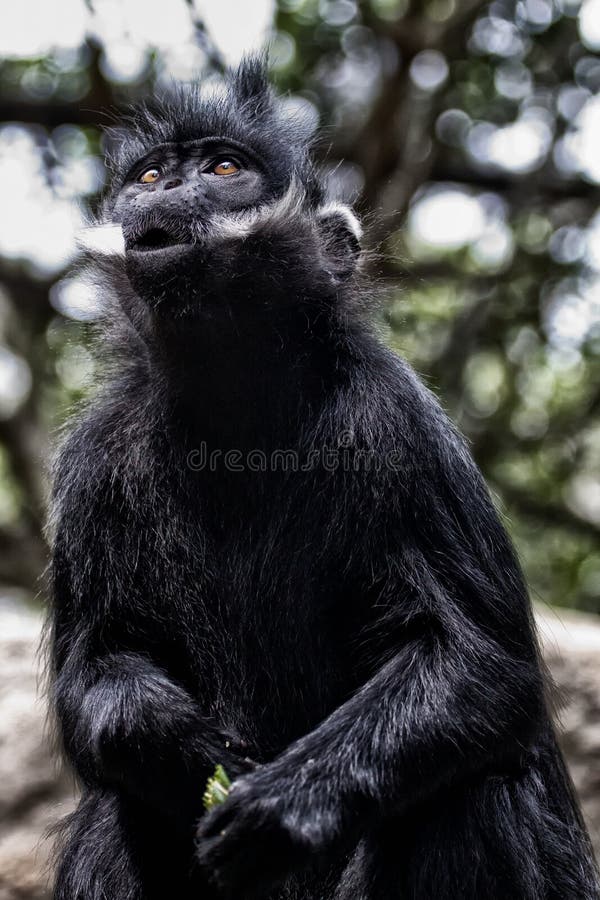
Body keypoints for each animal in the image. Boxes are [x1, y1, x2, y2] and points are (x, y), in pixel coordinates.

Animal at [48, 57, 599, 900]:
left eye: (224, 169)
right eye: (148, 173)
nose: (162, 190)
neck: (236, 410)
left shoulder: (394, 423)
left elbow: (482, 667)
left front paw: (286, 801)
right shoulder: (95, 465)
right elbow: (93, 682)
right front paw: (181, 746)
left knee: (466, 788)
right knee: (117, 802)